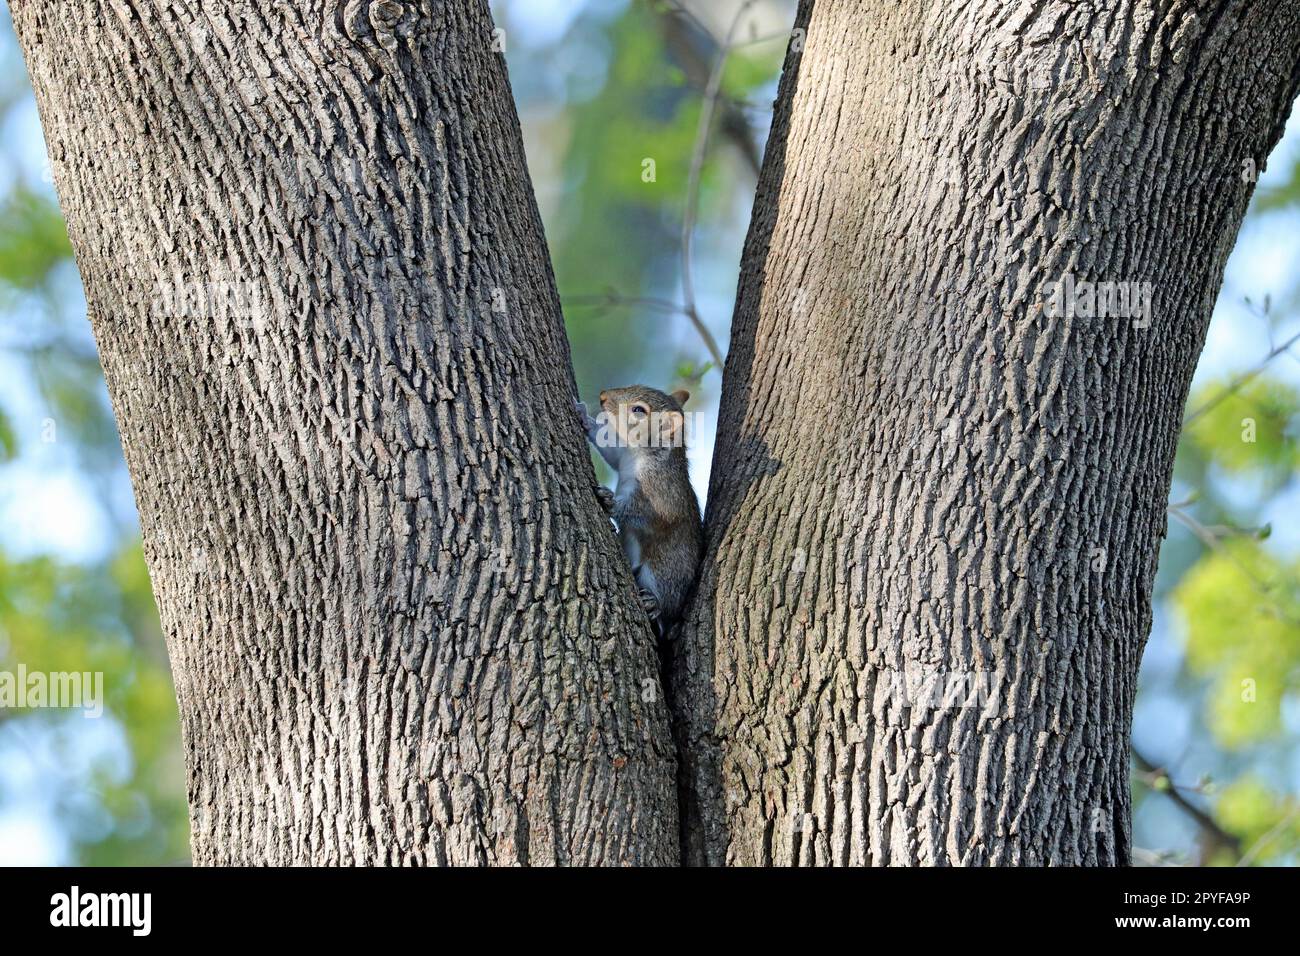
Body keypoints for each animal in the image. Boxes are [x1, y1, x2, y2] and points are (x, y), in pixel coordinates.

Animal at [575, 385, 704, 641]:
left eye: (638, 410)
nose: (603, 397)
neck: (642, 454)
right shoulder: (621, 456)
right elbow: (609, 448)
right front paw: (584, 416)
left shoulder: (663, 493)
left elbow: (650, 514)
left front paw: (612, 502)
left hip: (664, 570)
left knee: (666, 602)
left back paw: (655, 605)